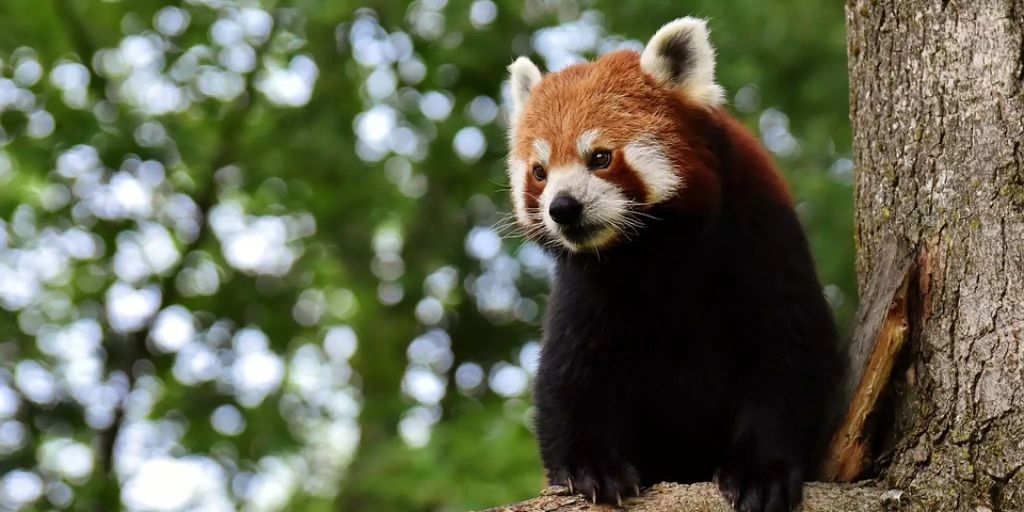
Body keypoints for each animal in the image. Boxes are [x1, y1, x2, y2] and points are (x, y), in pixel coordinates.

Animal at [503, 17, 844, 512]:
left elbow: (789, 353)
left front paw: (762, 471)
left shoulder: (762, 239)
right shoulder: (586, 285)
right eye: (539, 172)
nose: (562, 208)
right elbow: (569, 372)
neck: (653, 250)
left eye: (600, 157)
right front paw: (593, 468)